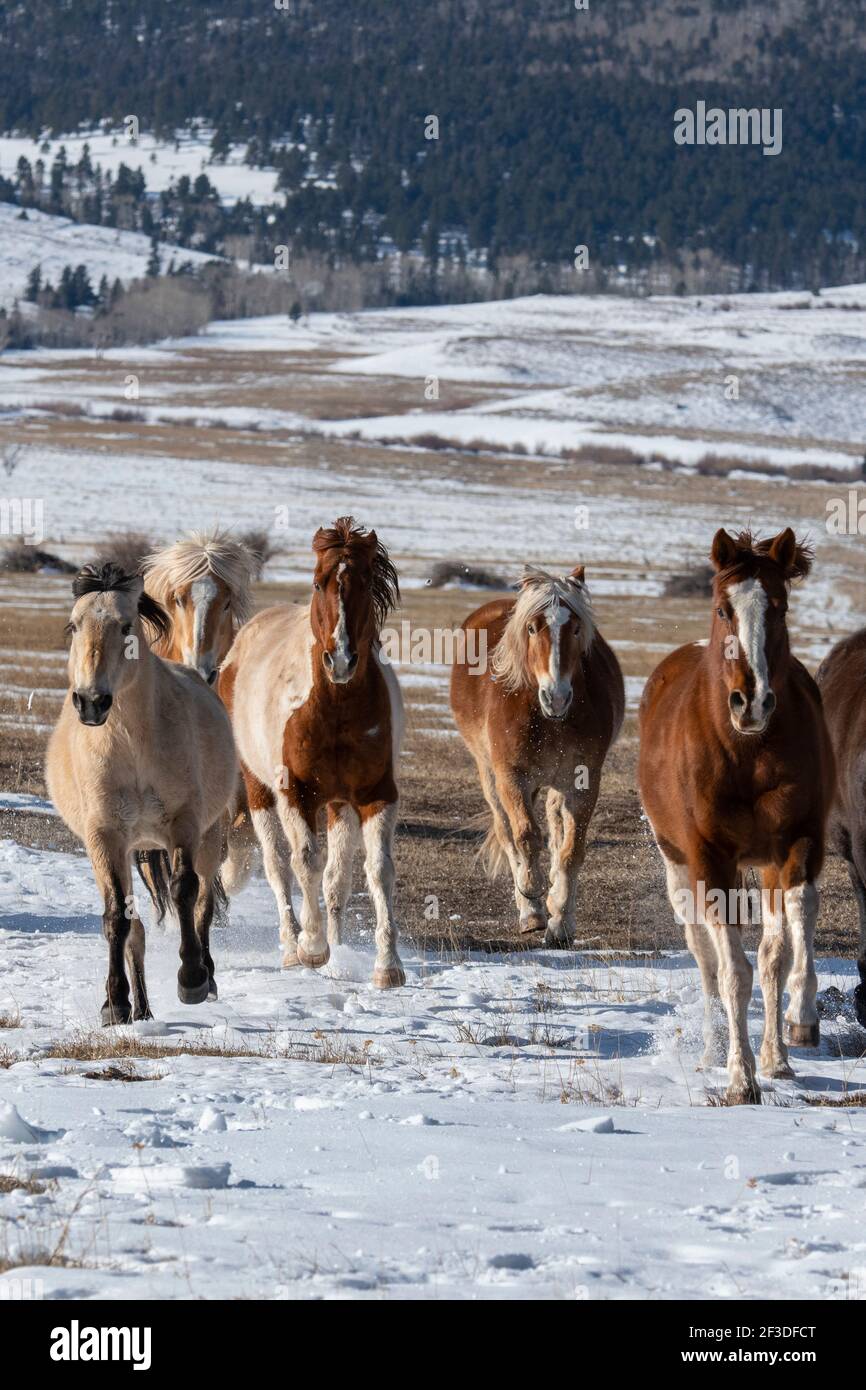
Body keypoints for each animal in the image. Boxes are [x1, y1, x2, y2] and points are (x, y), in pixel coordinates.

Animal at [45, 563, 239, 1023]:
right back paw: (141, 1008)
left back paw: (207, 976)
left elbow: (185, 890)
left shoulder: (184, 823)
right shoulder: (104, 836)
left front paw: (192, 979)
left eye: (126, 625)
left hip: (210, 835)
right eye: (74, 625)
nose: (91, 702)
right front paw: (115, 1004)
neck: (132, 746)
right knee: (136, 928)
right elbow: (118, 917)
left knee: (204, 901)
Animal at [219, 517, 406, 988]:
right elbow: (304, 861)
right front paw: (313, 948)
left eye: (365, 582)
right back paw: (291, 947)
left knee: (335, 878)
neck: (335, 708)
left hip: (339, 804)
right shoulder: (295, 792)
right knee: (277, 867)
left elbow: (377, 871)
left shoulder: (376, 795)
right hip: (259, 792)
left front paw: (387, 966)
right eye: (319, 582)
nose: (340, 660)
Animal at [450, 565, 624, 945]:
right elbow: (525, 836)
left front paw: (560, 918)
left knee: (557, 834)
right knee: (506, 831)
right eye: (532, 628)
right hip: (489, 775)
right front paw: (531, 896)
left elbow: (571, 850)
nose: (556, 697)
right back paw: (530, 909)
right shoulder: (511, 776)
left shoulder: (582, 781)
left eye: (576, 627)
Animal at [638, 528, 834, 1104]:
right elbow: (731, 972)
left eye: (780, 606)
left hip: (766, 865)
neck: (746, 751)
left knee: (772, 952)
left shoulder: (796, 845)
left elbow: (783, 949)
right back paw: (710, 1051)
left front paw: (794, 1031)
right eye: (723, 609)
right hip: (678, 868)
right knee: (705, 962)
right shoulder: (710, 860)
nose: (752, 702)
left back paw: (779, 1052)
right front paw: (739, 1078)